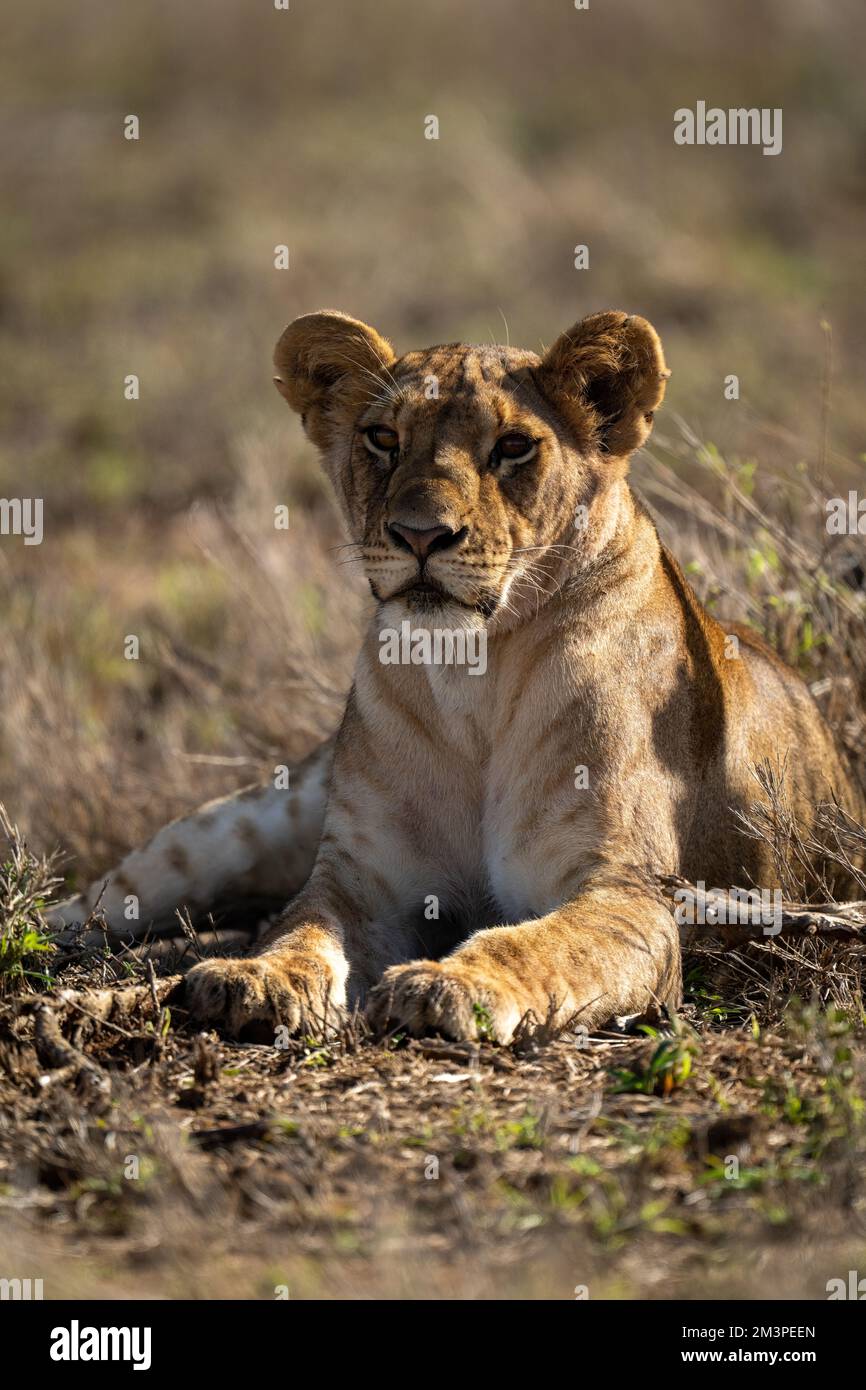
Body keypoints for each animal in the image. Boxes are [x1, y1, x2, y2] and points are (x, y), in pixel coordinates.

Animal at [50, 309, 865, 1041]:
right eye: (384, 439)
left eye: (513, 447)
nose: (420, 535)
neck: (472, 673)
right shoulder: (361, 884)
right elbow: (301, 930)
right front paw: (254, 978)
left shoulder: (632, 894)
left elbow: (539, 943)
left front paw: (452, 986)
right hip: (231, 830)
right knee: (96, 906)